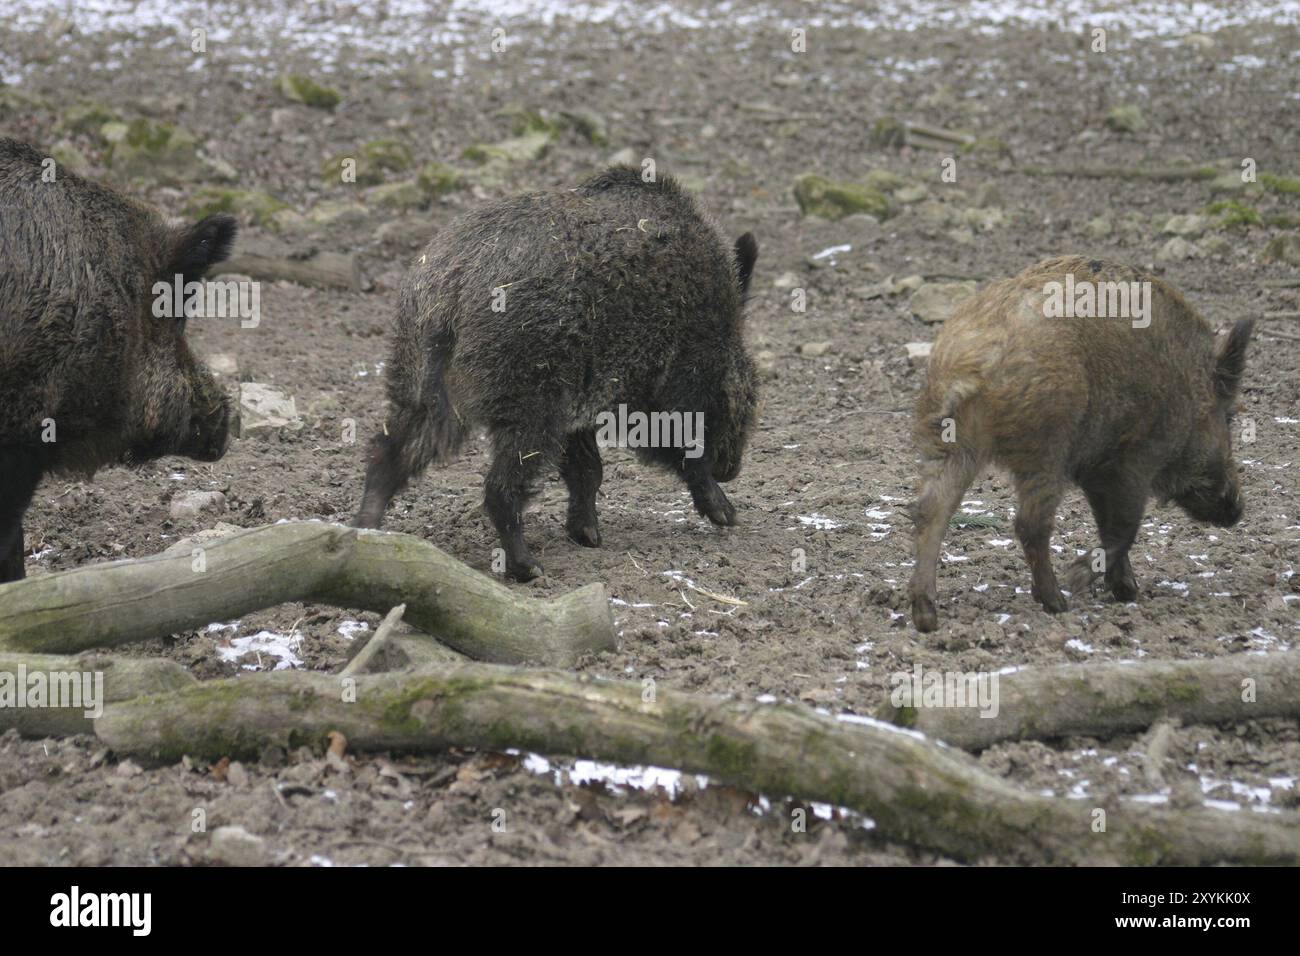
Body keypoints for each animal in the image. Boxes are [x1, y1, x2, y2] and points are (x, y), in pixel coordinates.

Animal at [354, 165, 760, 580]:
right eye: (745, 381)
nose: (732, 469)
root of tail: (449, 293)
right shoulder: (664, 390)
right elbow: (680, 450)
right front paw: (727, 515)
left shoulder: (579, 408)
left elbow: (589, 469)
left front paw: (588, 537)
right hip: (528, 404)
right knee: (499, 487)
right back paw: (529, 568)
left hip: (419, 388)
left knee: (386, 453)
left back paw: (365, 534)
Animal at [908, 255, 1253, 632]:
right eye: (1229, 417)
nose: (1237, 510)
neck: (1186, 390)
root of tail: (974, 358)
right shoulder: (1134, 459)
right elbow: (1124, 528)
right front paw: (1082, 580)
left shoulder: (1097, 472)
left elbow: (1109, 525)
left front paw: (1127, 592)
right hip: (1045, 447)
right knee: (1029, 523)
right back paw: (1058, 601)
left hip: (948, 442)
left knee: (931, 511)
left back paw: (926, 617)